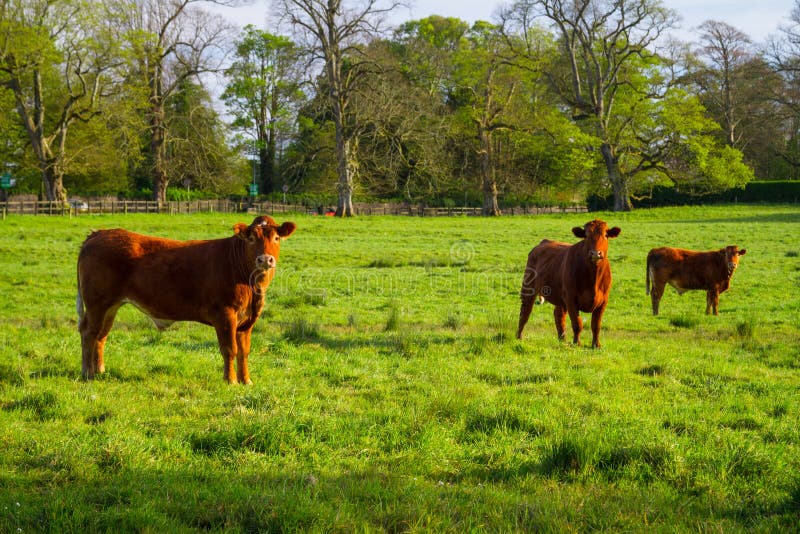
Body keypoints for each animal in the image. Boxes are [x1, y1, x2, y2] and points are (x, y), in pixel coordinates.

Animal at [76, 215, 296, 384]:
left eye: (276, 237)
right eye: (251, 238)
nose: (265, 259)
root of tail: (98, 233)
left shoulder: (247, 319)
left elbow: (244, 351)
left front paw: (246, 380)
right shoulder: (225, 314)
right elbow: (230, 349)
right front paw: (231, 380)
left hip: (110, 305)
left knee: (102, 335)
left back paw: (100, 370)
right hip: (97, 303)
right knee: (89, 332)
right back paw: (87, 372)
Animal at [516, 219, 621, 348]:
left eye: (606, 235)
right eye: (586, 235)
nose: (595, 253)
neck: (593, 278)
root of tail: (543, 243)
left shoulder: (603, 301)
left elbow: (596, 325)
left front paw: (596, 345)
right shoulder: (571, 299)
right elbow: (577, 324)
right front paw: (577, 343)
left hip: (559, 297)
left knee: (558, 315)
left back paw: (563, 340)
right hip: (528, 289)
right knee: (525, 312)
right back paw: (519, 336)